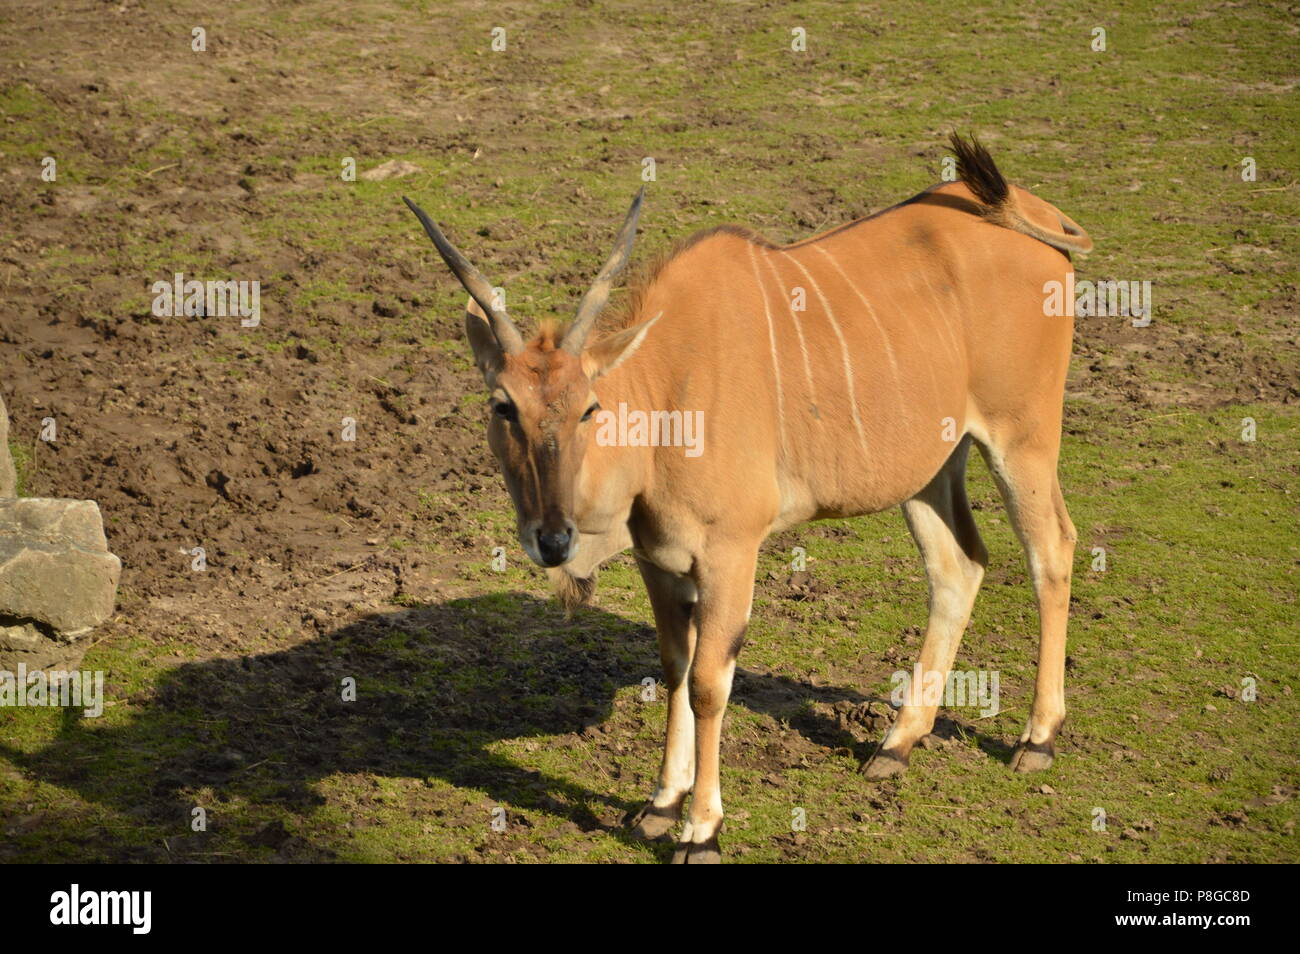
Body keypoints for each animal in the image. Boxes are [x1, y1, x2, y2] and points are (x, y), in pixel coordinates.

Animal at [403, 134, 1092, 863]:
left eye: (590, 406)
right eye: (503, 405)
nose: (553, 538)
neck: (666, 389)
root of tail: (1029, 211)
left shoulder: (731, 551)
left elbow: (709, 684)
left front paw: (701, 830)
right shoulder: (660, 562)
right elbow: (674, 669)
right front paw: (659, 805)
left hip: (1022, 438)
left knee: (1052, 549)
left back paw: (1038, 738)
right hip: (931, 470)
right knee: (958, 566)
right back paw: (897, 744)